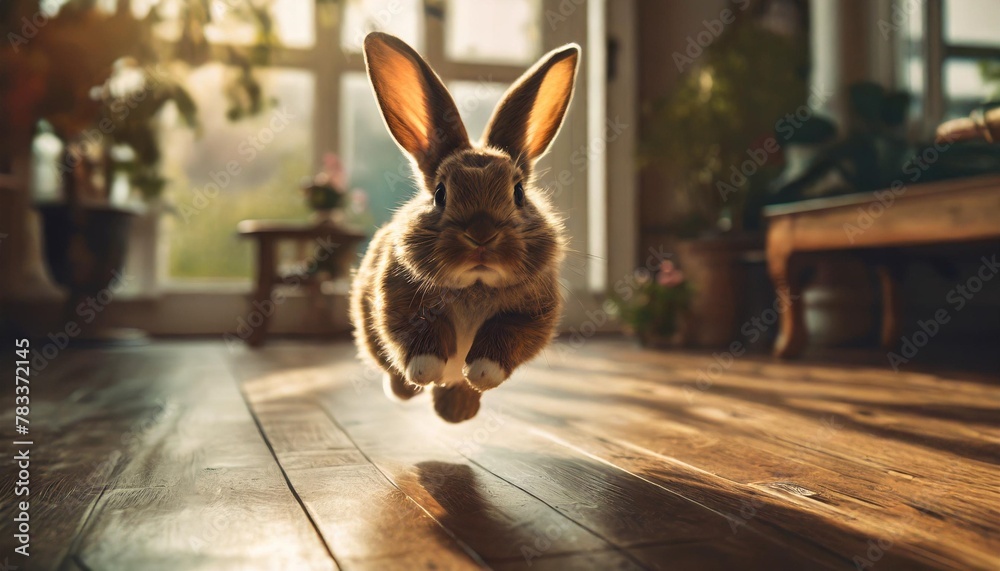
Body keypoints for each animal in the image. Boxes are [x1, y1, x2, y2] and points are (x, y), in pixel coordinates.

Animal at [350, 32, 580, 423]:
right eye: (440, 193)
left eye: (519, 193)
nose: (482, 235)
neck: (475, 285)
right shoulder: (396, 301)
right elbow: (420, 336)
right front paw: (426, 370)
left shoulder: (532, 314)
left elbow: (503, 336)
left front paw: (480, 373)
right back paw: (416, 393)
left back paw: (456, 408)